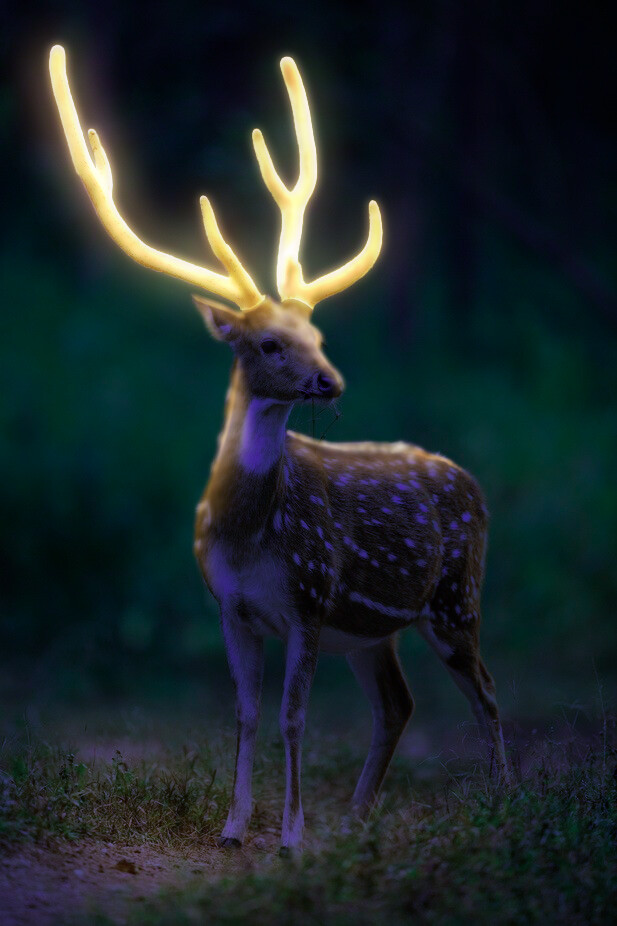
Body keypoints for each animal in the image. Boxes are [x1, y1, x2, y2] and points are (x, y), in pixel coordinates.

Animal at [49, 44, 508, 855]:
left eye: (317, 334)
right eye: (268, 341)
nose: (330, 380)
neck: (245, 532)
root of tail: (472, 483)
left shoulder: (308, 598)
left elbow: (293, 718)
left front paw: (290, 834)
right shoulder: (232, 608)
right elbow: (247, 714)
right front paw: (234, 828)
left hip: (455, 595)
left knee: (485, 692)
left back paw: (504, 807)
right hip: (373, 633)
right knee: (399, 704)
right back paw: (356, 820)